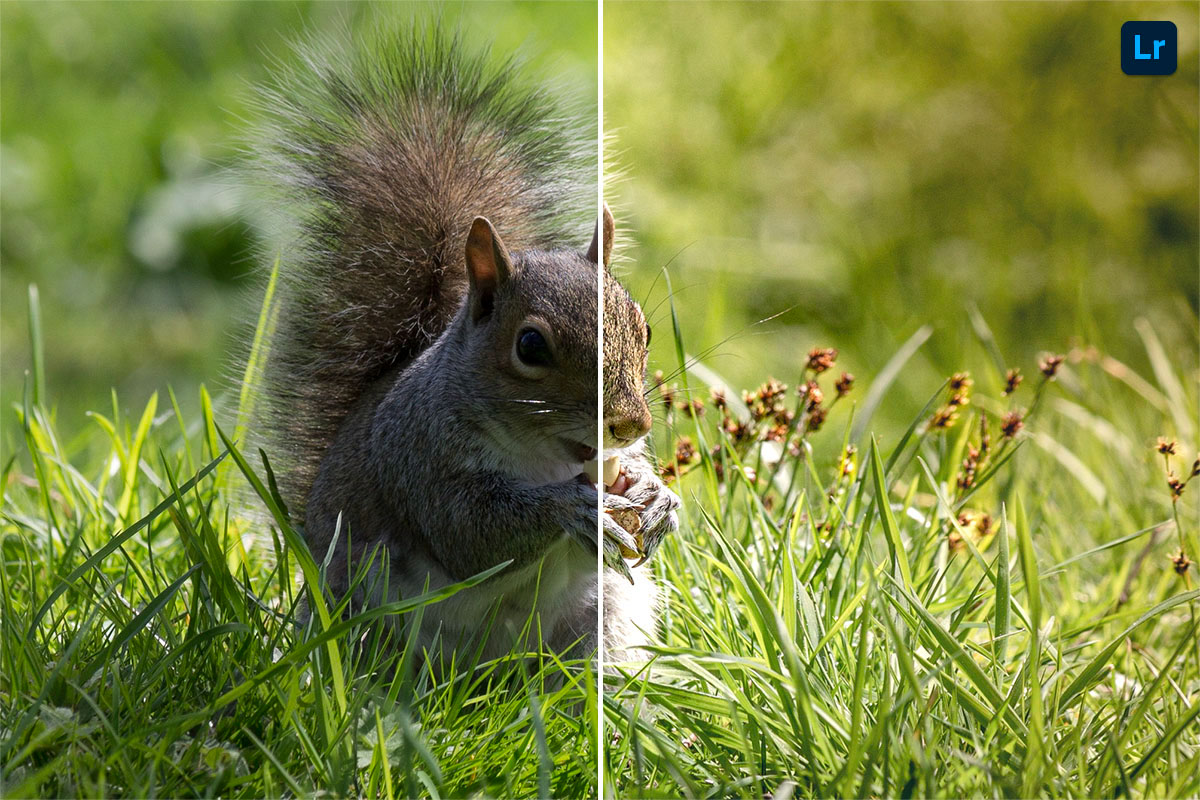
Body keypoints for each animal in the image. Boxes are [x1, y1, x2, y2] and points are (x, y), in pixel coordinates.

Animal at [248, 26, 679, 663]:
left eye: (643, 328)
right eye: (530, 346)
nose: (630, 425)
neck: (542, 457)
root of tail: (491, 667)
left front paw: (656, 497)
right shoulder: (419, 458)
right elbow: (469, 533)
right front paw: (572, 507)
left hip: (600, 625)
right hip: (370, 625)